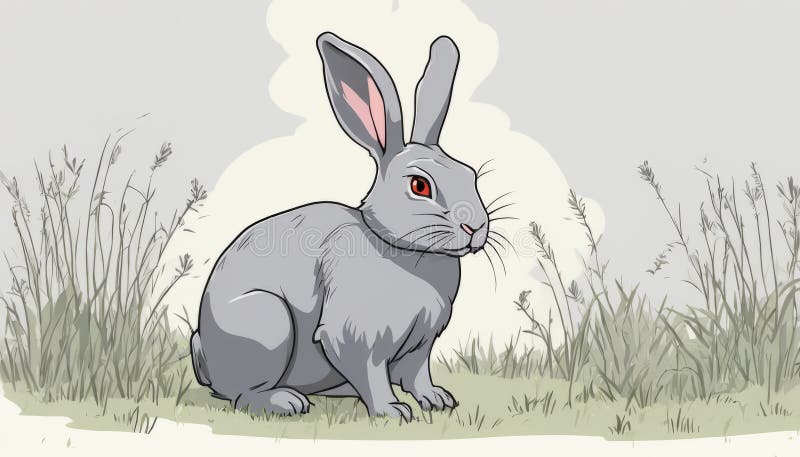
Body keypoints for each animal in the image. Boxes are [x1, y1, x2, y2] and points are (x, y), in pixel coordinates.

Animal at [190, 31, 489, 421]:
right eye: (420, 186)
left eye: (470, 175)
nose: (475, 227)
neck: (397, 248)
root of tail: (205, 357)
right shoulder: (355, 336)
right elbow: (371, 374)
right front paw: (392, 411)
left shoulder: (420, 344)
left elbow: (418, 375)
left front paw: (437, 400)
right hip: (268, 322)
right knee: (243, 395)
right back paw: (286, 402)